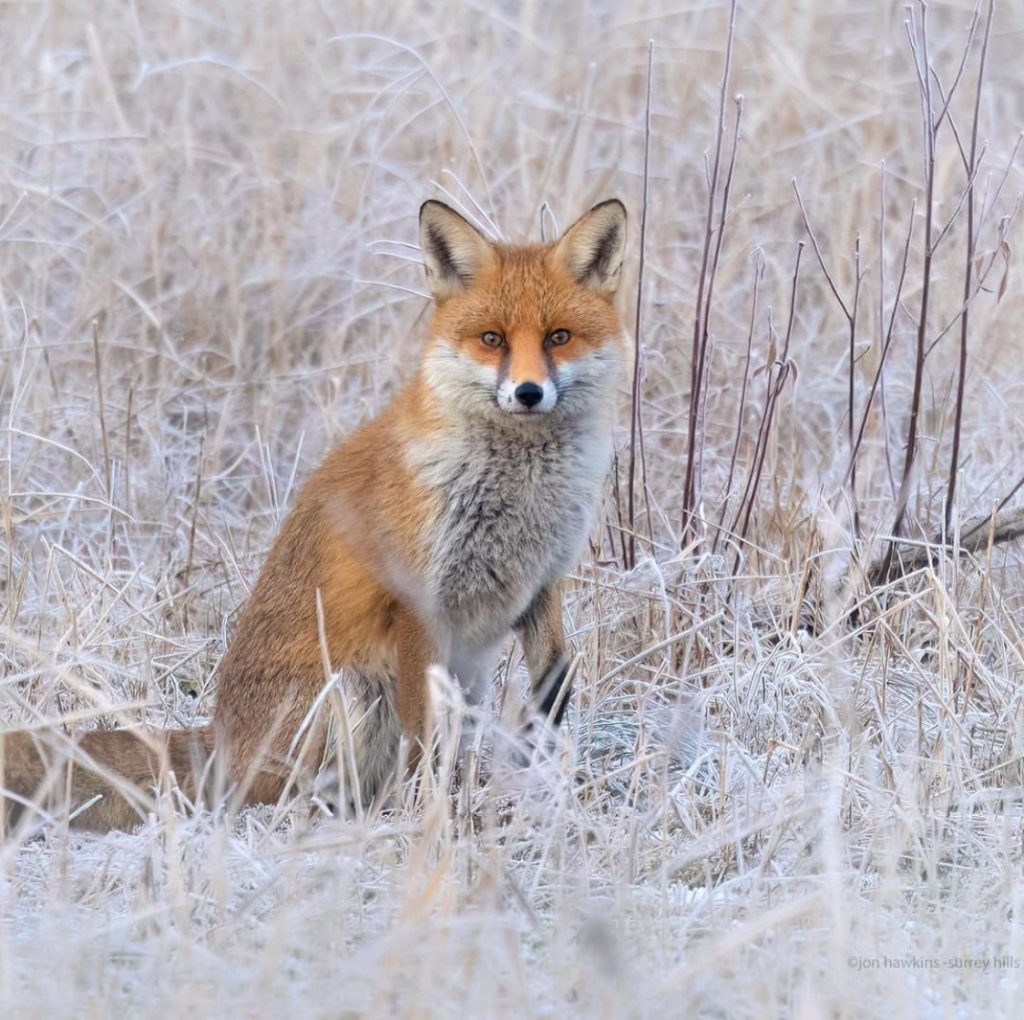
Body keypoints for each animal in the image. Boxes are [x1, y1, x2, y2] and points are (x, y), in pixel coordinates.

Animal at [0, 197, 629, 833]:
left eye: (558, 337)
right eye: (492, 339)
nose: (527, 392)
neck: (519, 494)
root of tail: (221, 740)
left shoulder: (543, 580)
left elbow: (555, 685)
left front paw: (537, 775)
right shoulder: (416, 603)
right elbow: (423, 740)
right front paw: (431, 819)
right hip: (353, 692)